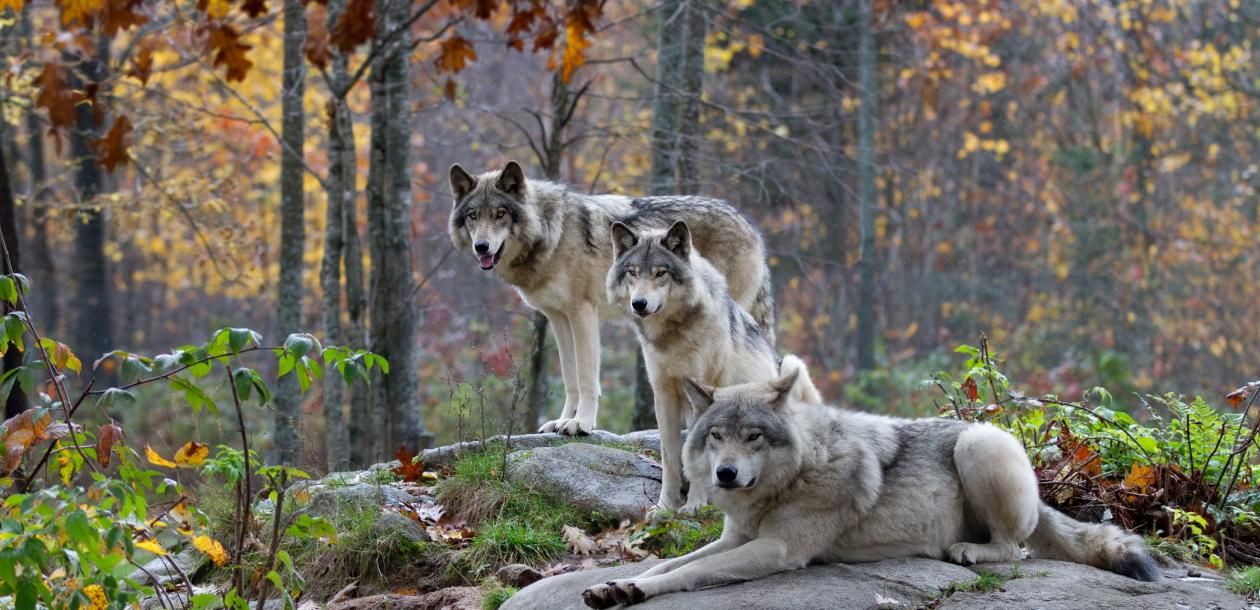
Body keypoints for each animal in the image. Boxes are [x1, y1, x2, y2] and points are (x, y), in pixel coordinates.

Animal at [448, 161, 774, 436]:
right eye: (473, 216)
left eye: (500, 214)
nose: (481, 246)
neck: (552, 232)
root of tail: (750, 226)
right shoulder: (557, 317)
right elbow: (570, 377)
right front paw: (562, 421)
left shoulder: (582, 312)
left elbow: (586, 377)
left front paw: (581, 424)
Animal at [582, 366, 1159, 608]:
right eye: (717, 436)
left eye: (753, 437)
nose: (725, 473)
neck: (797, 473)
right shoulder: (736, 538)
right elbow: (666, 565)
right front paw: (619, 584)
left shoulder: (778, 549)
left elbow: (689, 573)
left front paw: (635, 590)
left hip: (978, 443)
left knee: (1016, 550)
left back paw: (968, 550)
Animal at [606, 220, 818, 512]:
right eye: (632, 273)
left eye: (660, 273)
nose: (639, 304)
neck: (673, 335)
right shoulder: (663, 394)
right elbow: (671, 458)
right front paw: (664, 507)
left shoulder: (702, 392)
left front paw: (694, 505)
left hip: (791, 364)